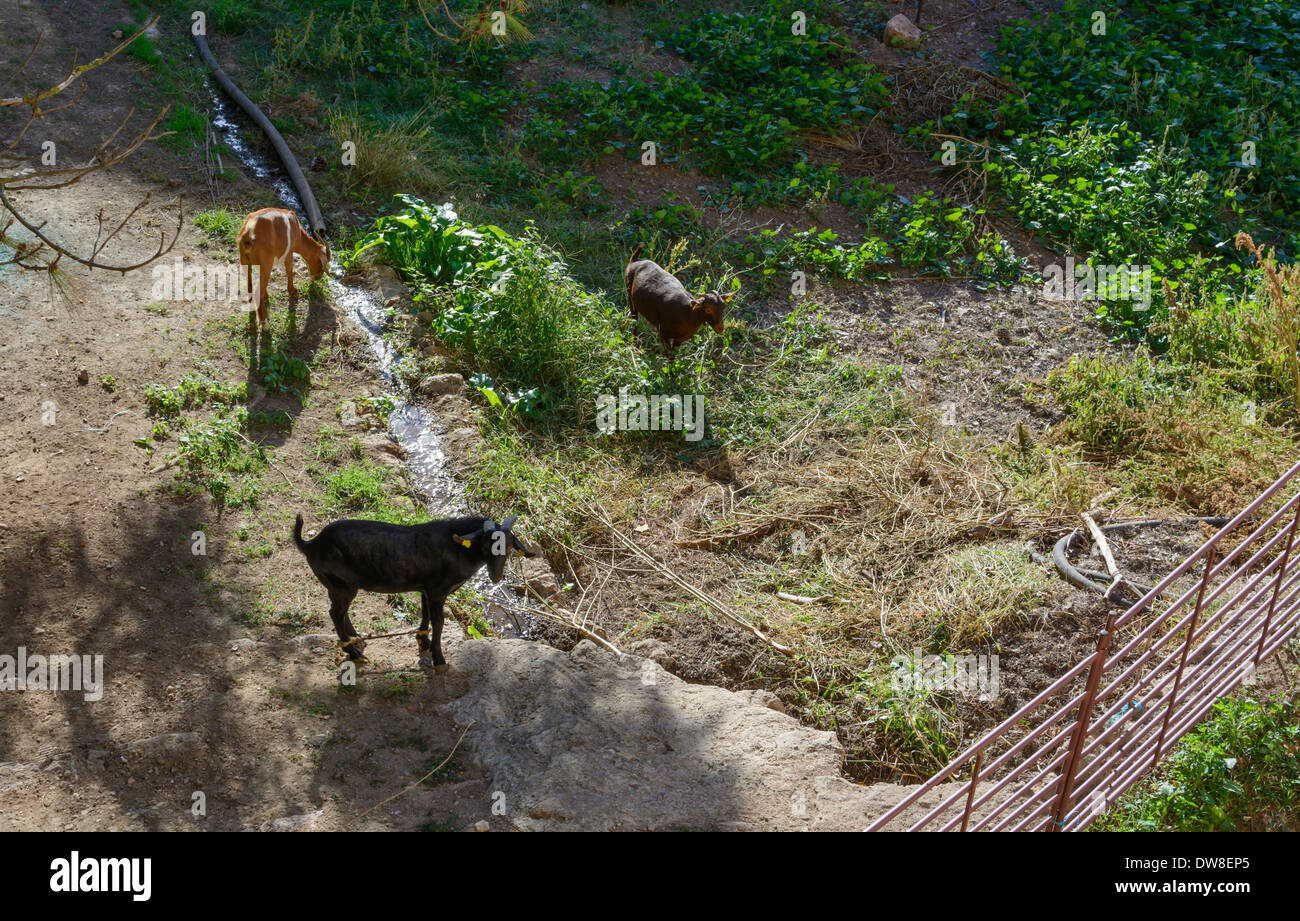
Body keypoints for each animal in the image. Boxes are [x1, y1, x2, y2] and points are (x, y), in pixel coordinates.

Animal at [293, 513, 537, 670]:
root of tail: (310, 544)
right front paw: (439, 660)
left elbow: (425, 612)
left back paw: (356, 638)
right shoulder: (438, 591)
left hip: (337, 586)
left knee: (340, 612)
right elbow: (439, 622)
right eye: (486, 546)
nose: (496, 577)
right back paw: (353, 651)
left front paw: (423, 639)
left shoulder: (426, 588)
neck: (456, 549)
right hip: (342, 584)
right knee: (335, 613)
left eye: (508, 547)